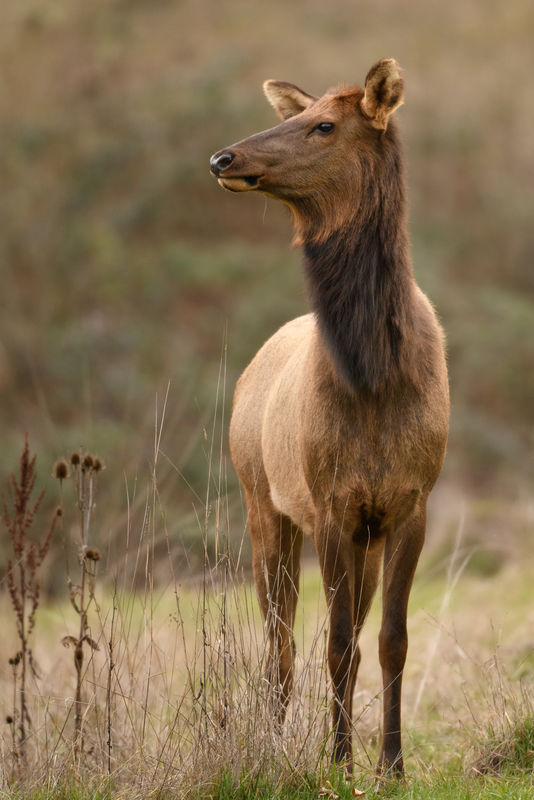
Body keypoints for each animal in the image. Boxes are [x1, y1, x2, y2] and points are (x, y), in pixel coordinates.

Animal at [209, 58, 449, 779]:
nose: (223, 157)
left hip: (355, 536)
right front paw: (340, 762)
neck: (375, 379)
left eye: (324, 125)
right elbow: (337, 641)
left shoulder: (409, 502)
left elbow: (390, 639)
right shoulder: (330, 502)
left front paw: (391, 764)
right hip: (263, 502)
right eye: (301, 113)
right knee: (280, 644)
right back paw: (275, 741)